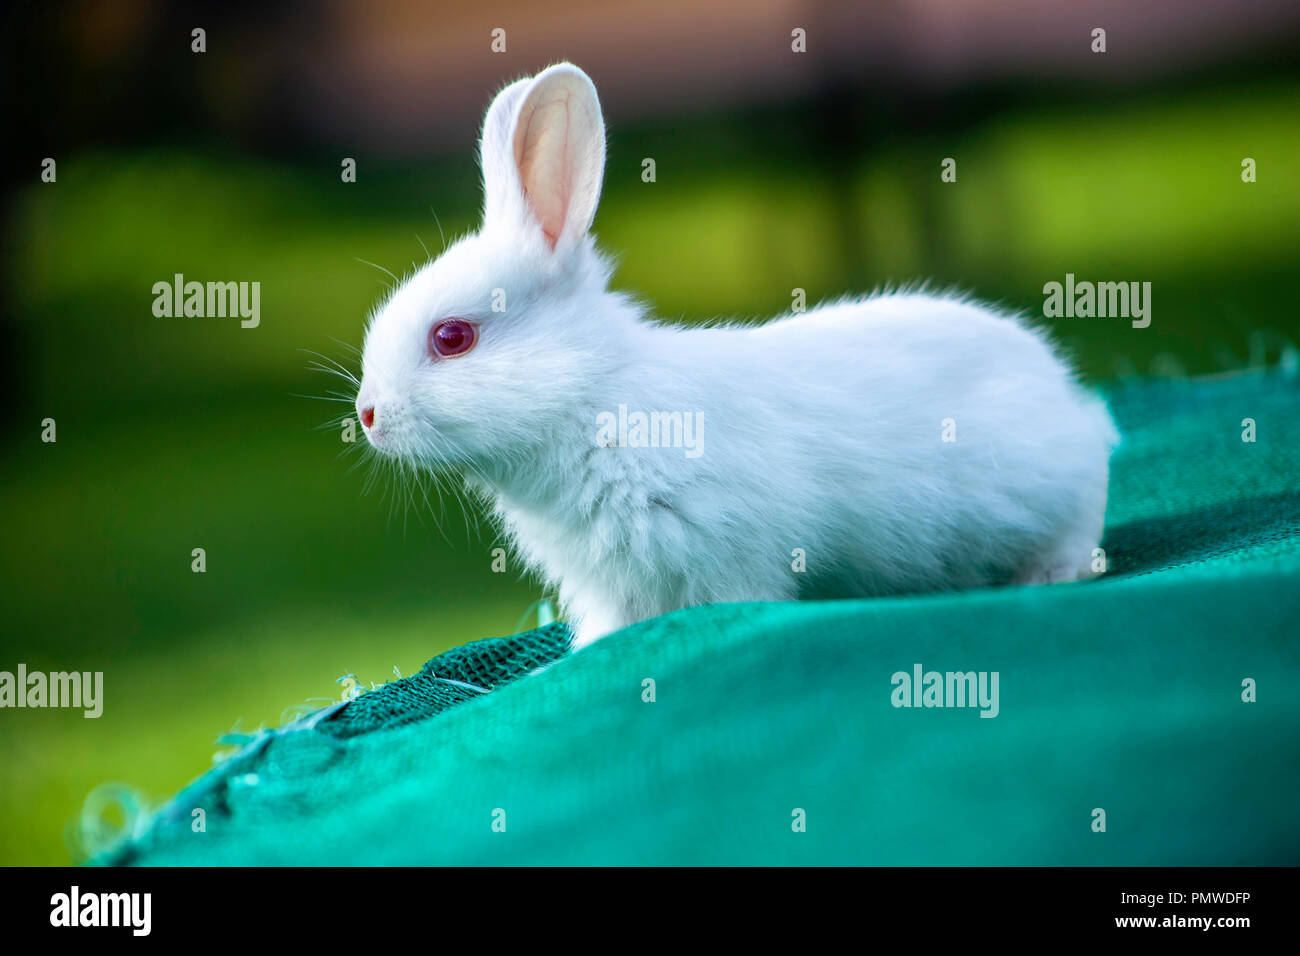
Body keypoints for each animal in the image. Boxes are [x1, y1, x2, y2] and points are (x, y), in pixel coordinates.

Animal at [354, 62, 1120, 650]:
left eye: (452, 338)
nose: (366, 415)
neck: (593, 399)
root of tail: (1069, 401)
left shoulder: (730, 548)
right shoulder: (608, 588)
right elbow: (606, 633)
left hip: (1052, 488)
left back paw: (1050, 574)